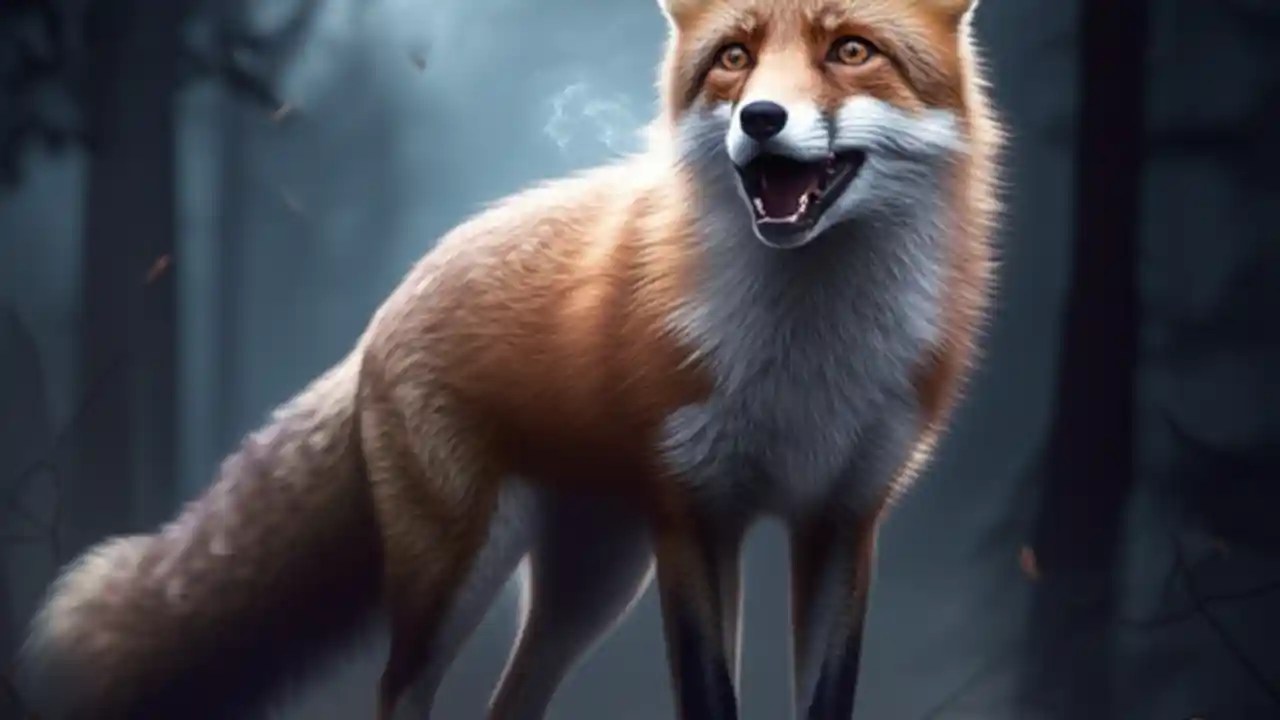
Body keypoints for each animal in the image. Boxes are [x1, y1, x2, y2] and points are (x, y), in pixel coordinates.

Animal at [18, 0, 1001, 718]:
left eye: (851, 50)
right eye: (734, 58)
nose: (761, 119)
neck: (807, 354)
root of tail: (395, 299)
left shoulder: (841, 520)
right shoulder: (695, 518)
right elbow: (708, 698)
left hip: (592, 586)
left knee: (509, 705)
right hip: (461, 571)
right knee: (399, 690)